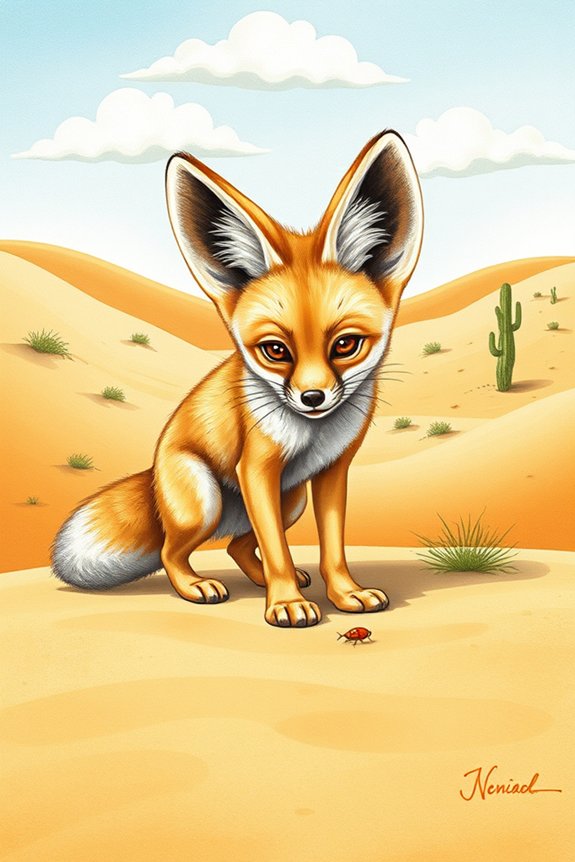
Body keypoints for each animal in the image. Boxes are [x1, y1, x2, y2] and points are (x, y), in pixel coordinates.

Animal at [51, 130, 423, 628]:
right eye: (275, 350)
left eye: (345, 345)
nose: (312, 397)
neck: (315, 435)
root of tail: (153, 475)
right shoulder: (257, 468)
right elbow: (278, 551)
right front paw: (286, 605)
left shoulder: (332, 472)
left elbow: (332, 549)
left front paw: (344, 594)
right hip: (206, 503)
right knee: (173, 551)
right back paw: (198, 586)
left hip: (290, 500)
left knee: (237, 546)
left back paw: (267, 578)